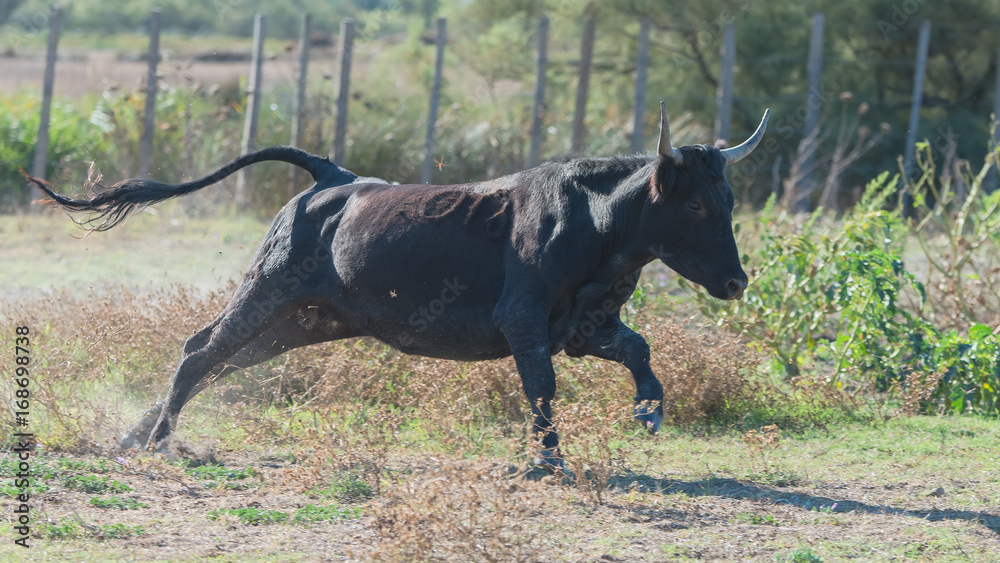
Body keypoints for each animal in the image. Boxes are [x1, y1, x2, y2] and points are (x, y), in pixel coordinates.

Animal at [32, 102, 768, 467]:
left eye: (729, 198)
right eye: (694, 204)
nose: (736, 282)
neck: (592, 221)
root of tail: (333, 176)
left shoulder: (587, 326)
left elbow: (639, 349)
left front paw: (649, 410)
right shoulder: (525, 321)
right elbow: (542, 387)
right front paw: (547, 460)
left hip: (305, 319)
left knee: (220, 360)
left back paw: (137, 435)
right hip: (267, 290)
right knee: (199, 350)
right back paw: (159, 443)